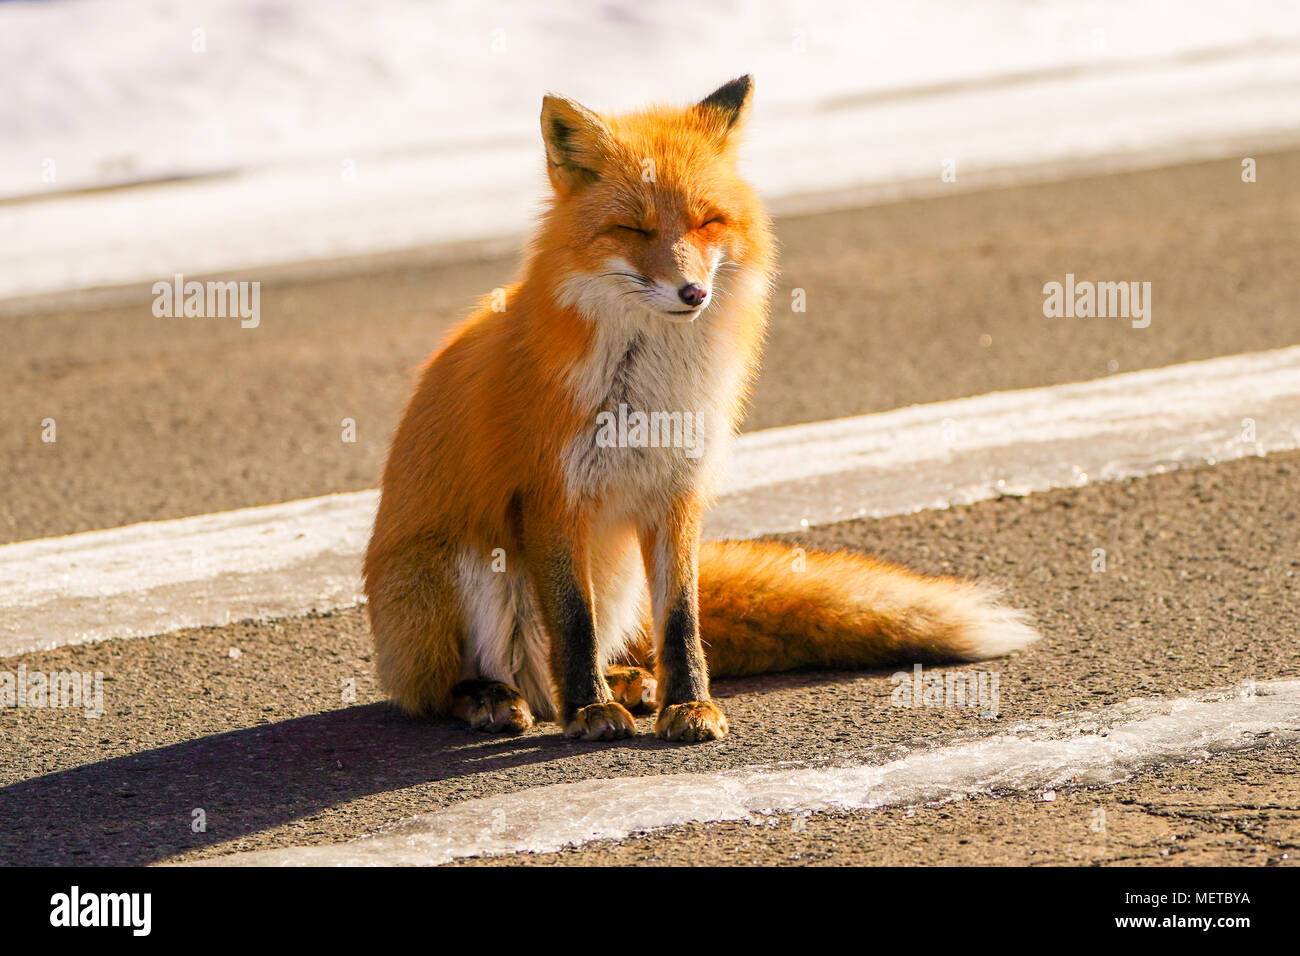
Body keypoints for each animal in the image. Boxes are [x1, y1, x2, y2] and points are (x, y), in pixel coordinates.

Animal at [363, 76, 1040, 743]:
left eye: (707, 221)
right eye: (635, 230)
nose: (693, 292)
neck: (650, 390)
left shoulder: (677, 491)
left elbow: (682, 619)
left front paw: (689, 705)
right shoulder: (551, 497)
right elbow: (574, 625)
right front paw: (589, 710)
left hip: (617, 577)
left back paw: (627, 681)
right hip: (469, 566)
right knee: (446, 691)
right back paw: (496, 697)